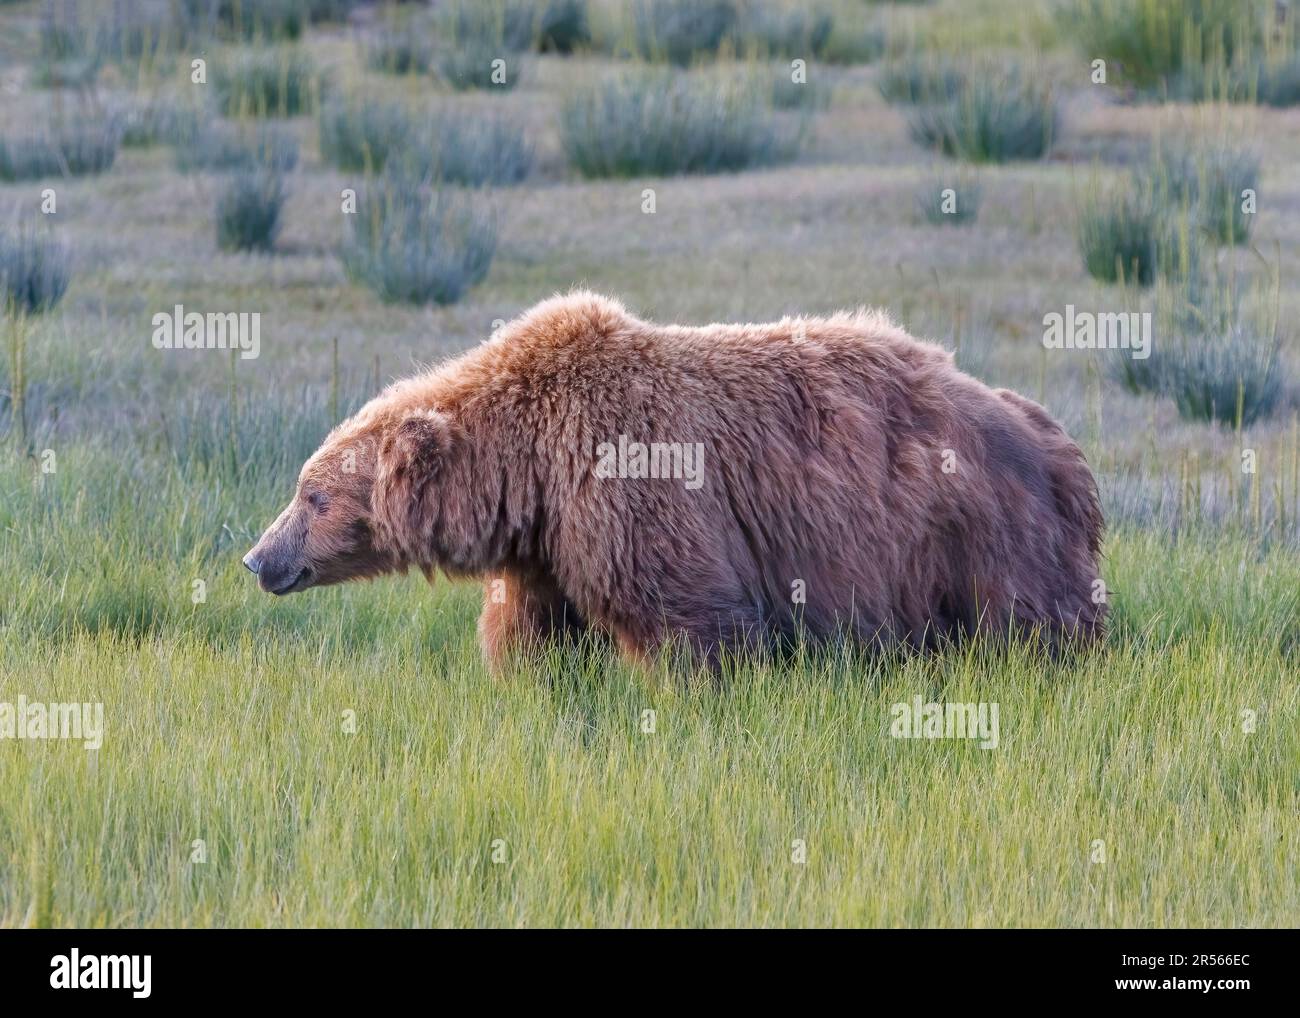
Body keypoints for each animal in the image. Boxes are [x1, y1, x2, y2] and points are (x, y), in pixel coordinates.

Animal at [243, 291, 1105, 670]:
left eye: (313, 496)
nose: (258, 558)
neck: (526, 465)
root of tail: (1054, 439)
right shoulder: (550, 541)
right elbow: (535, 630)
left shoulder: (628, 480)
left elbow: (687, 617)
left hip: (974, 528)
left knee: (1032, 620)